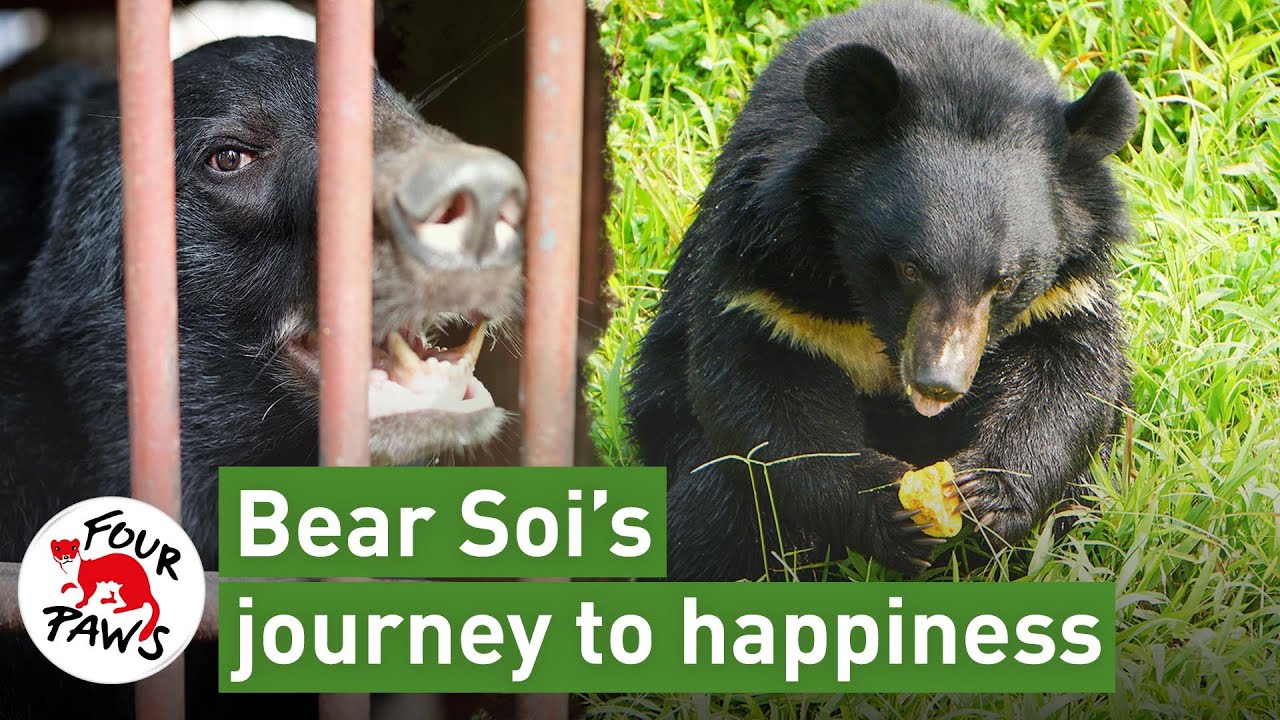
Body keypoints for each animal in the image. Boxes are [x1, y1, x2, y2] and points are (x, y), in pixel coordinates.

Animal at [626, 0, 1137, 582]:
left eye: (1005, 281)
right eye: (909, 268)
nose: (939, 384)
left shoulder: (1069, 288)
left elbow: (1070, 375)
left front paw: (987, 493)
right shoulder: (767, 279)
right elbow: (757, 391)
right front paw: (889, 507)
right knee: (715, 507)